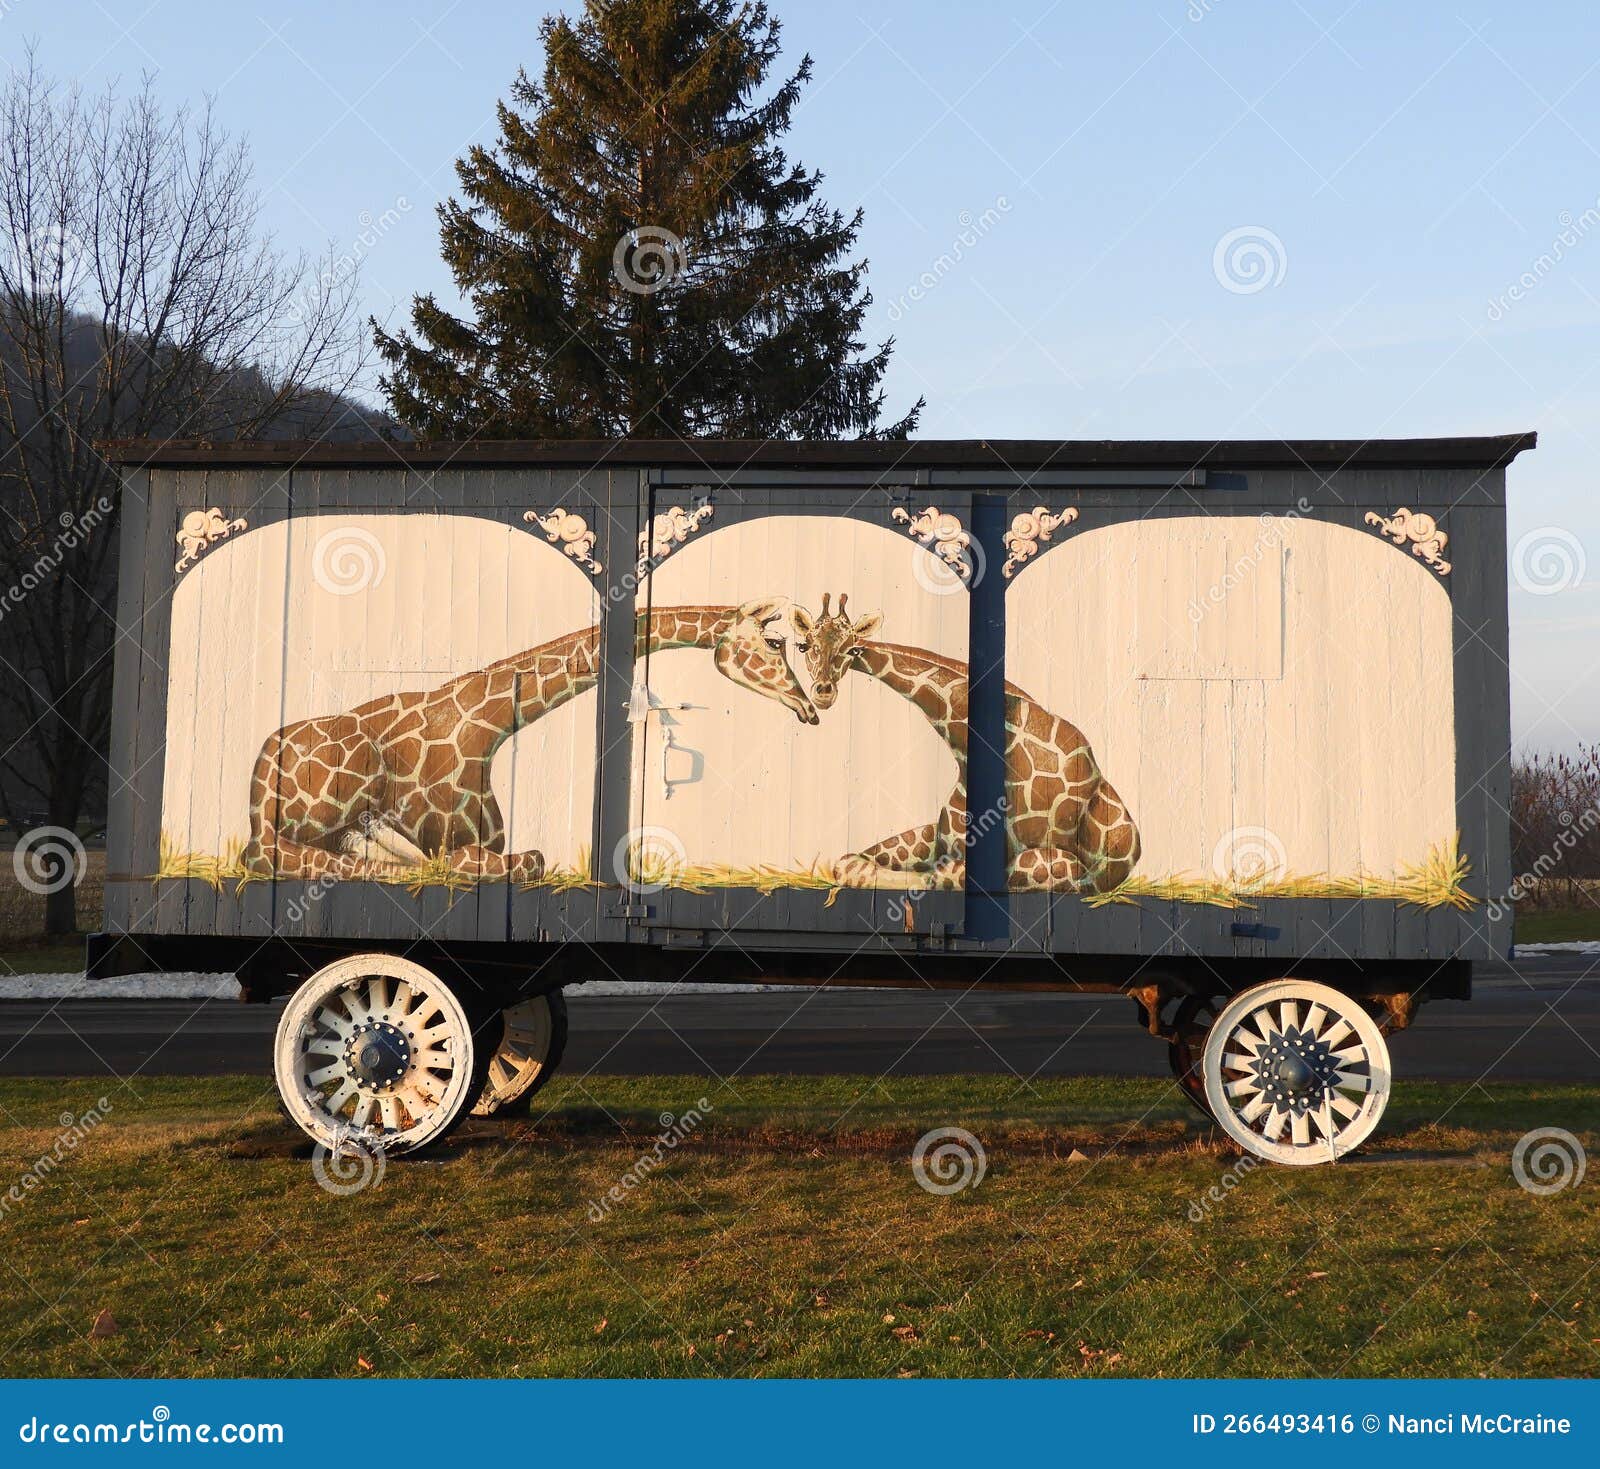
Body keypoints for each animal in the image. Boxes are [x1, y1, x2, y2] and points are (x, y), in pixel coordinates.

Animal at [240, 599, 815, 882]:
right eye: (774, 642)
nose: (808, 707)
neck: (488, 727)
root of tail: (261, 765)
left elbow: (529, 857)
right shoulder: (456, 843)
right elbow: (513, 860)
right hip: (327, 798)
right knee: (266, 853)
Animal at [788, 593, 1141, 893]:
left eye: (853, 650)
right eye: (805, 646)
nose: (823, 692)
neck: (965, 753)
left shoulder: (1056, 863)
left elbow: (941, 877)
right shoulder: (938, 837)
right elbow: (850, 865)